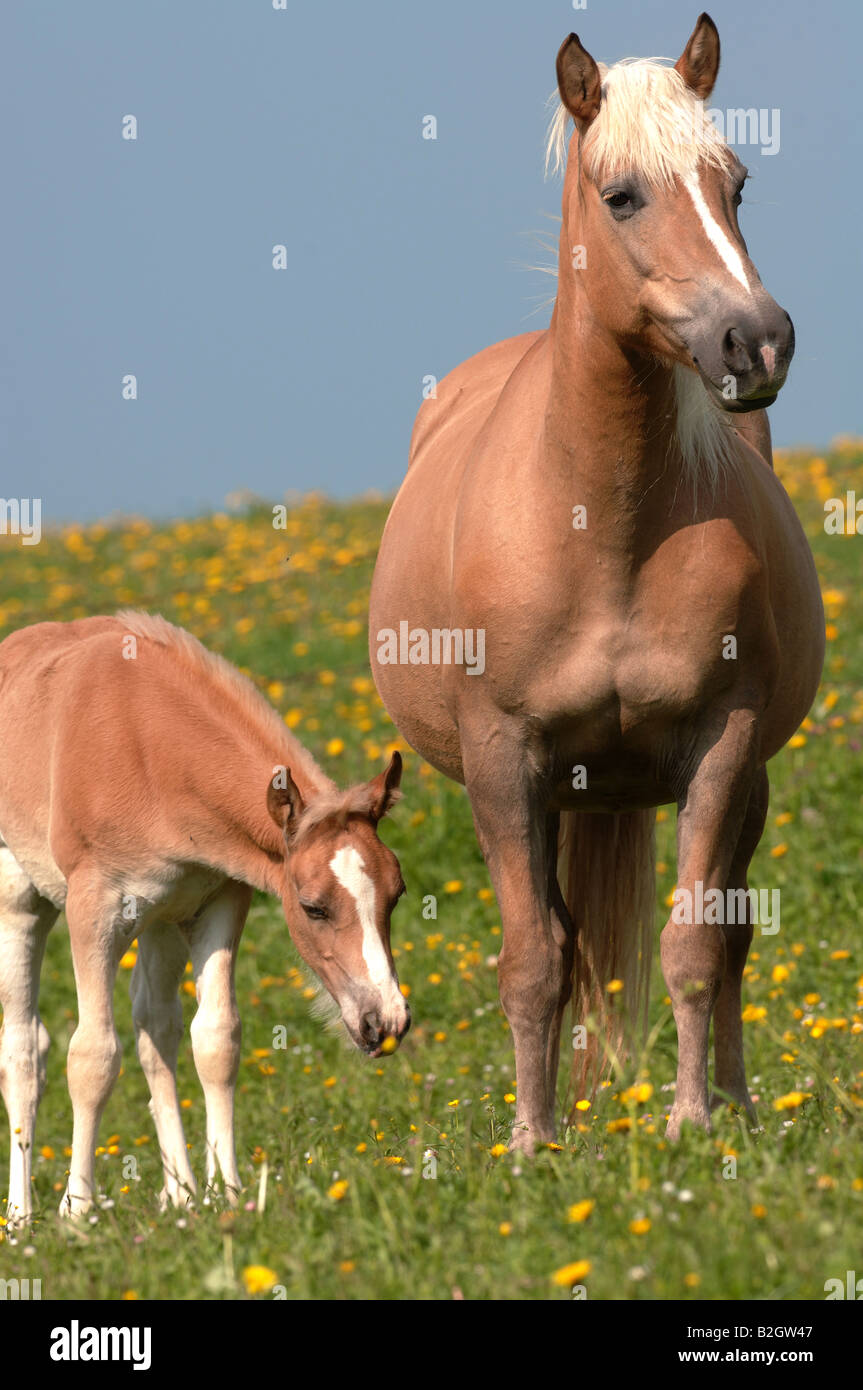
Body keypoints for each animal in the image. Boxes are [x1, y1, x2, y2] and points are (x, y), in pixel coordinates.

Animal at [0, 612, 409, 1222]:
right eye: (313, 907)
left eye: (397, 895)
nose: (385, 1022)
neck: (149, 751)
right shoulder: (92, 908)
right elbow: (91, 1055)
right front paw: (77, 1210)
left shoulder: (217, 900)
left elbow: (217, 1039)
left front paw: (229, 1192)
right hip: (21, 900)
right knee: (25, 1048)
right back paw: (24, 1217)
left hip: (162, 920)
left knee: (156, 1029)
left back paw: (181, 1192)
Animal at [369, 14, 824, 1152]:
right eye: (621, 194)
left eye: (735, 182)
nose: (757, 342)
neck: (597, 527)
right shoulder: (503, 763)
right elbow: (532, 960)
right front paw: (532, 1142)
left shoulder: (721, 746)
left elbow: (694, 946)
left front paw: (692, 1121)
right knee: (565, 941)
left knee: (727, 934)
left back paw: (738, 1105)